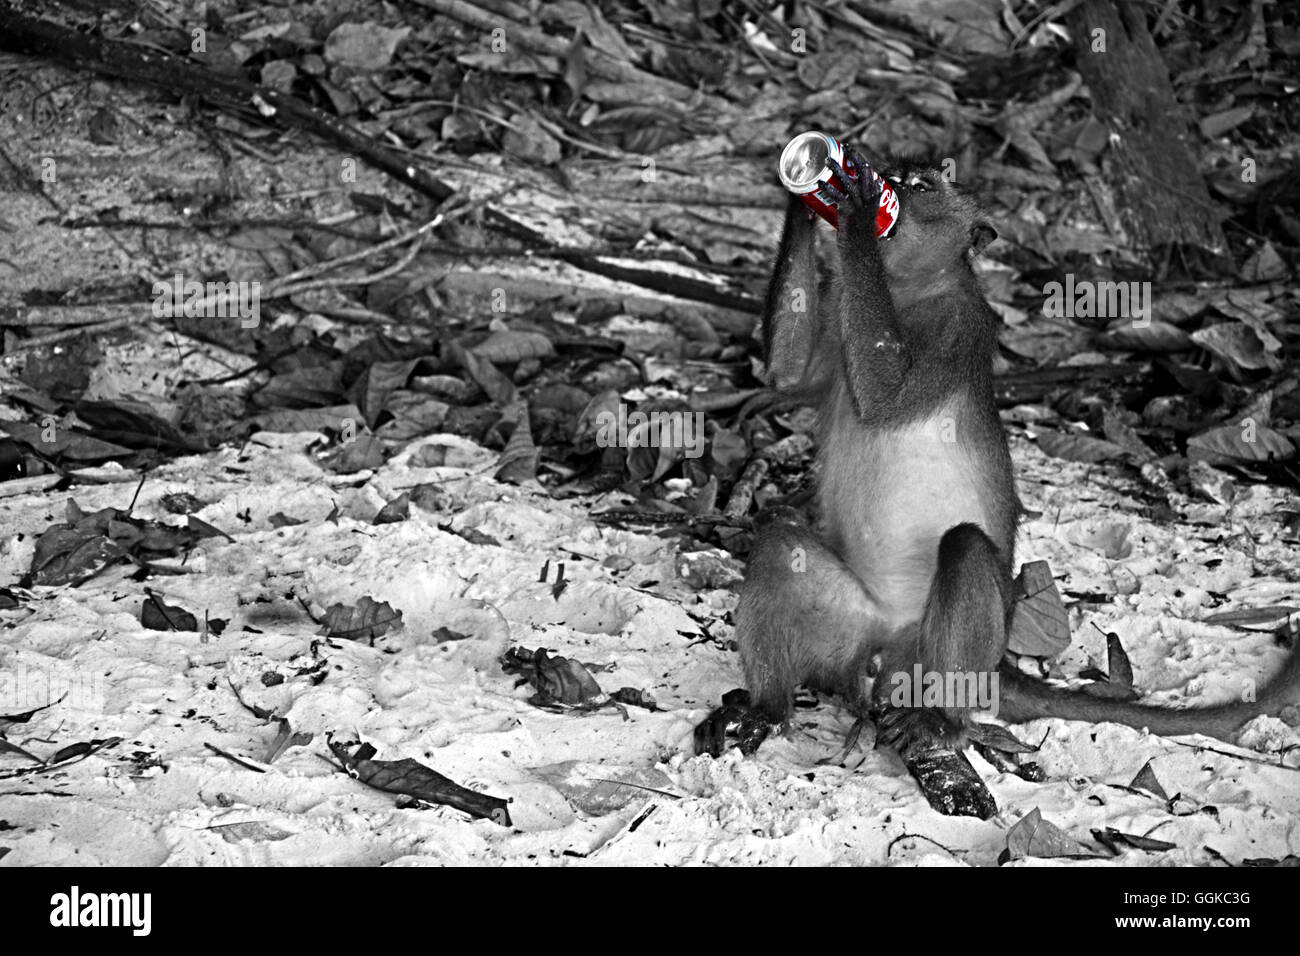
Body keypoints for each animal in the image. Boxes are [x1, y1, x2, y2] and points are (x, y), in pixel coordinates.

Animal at [735, 149, 1300, 756]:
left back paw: (945, 720)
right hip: (857, 624)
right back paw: (767, 707)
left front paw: (859, 211)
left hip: (928, 650)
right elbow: (787, 374)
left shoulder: (962, 328)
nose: (888, 186)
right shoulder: (842, 302)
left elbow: (883, 401)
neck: (903, 292)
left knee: (963, 546)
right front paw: (805, 197)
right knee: (777, 537)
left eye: (919, 187)